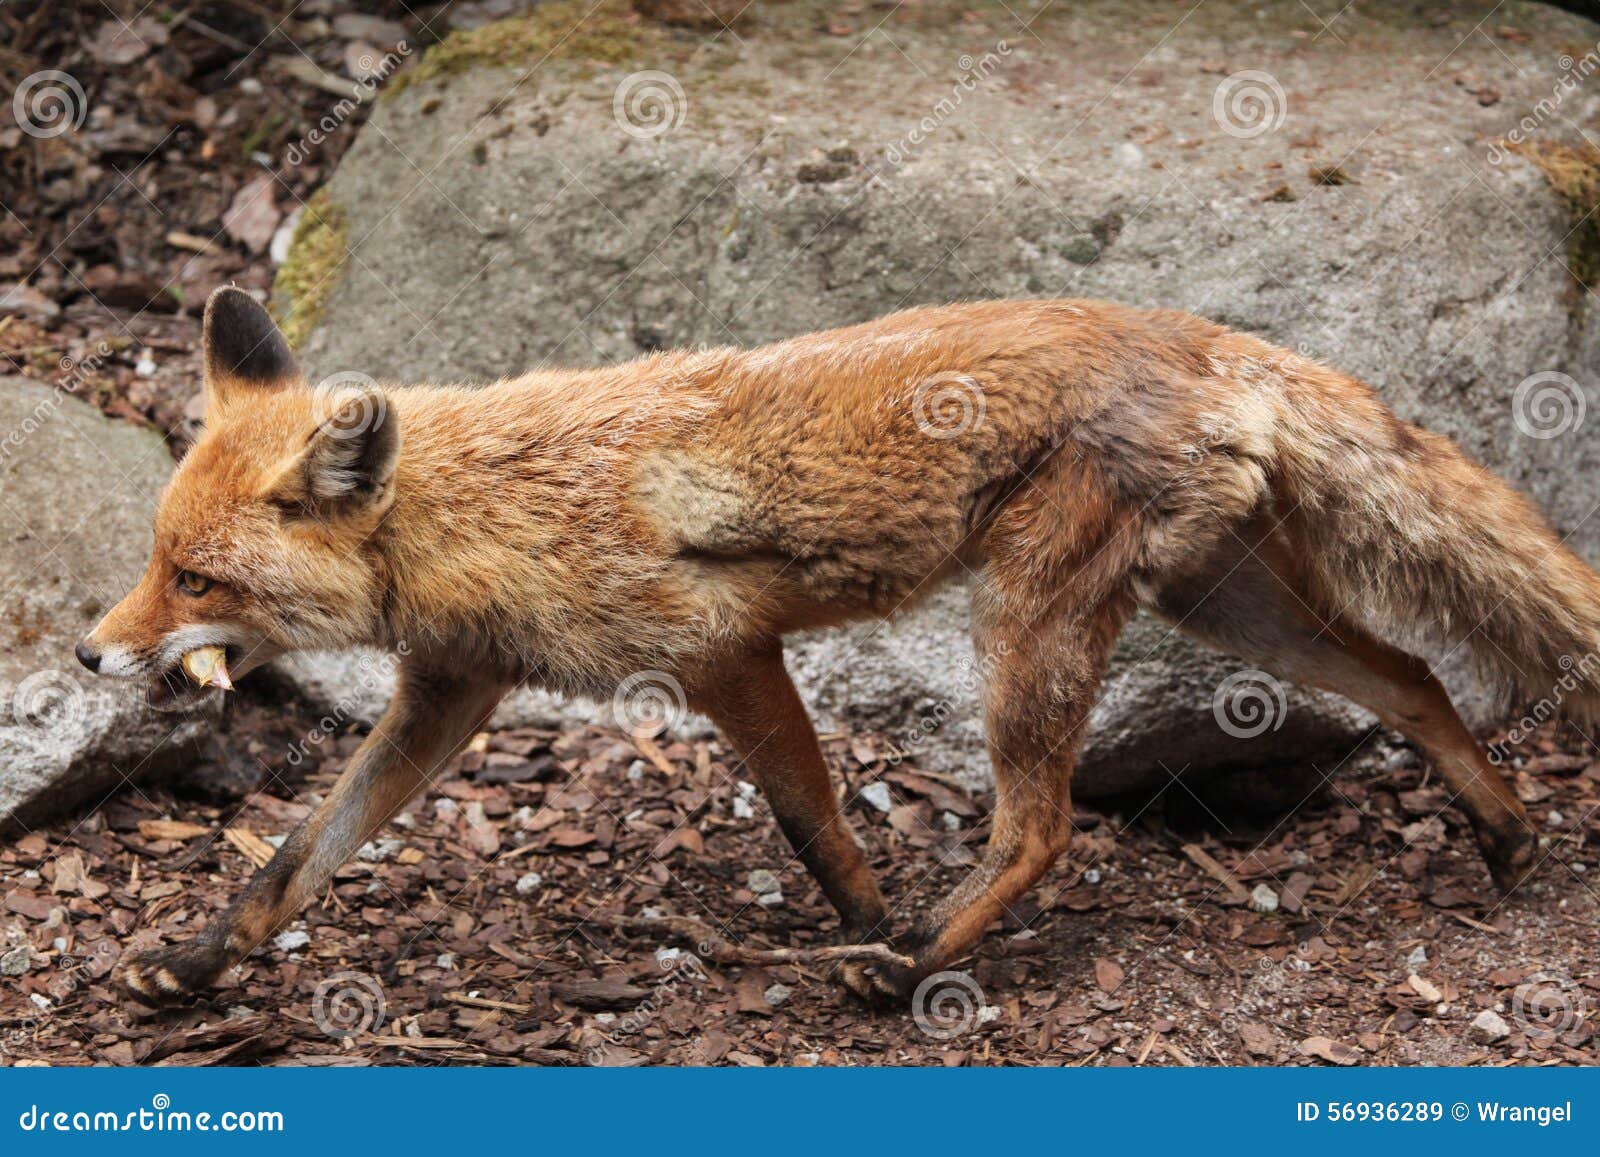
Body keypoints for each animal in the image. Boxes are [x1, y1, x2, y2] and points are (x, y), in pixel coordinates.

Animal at [78, 286, 1599, 1008]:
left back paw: (913, 968)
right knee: (1414, 678)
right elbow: (297, 855)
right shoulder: (453, 690)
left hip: (1030, 628)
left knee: (1043, 827)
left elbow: (816, 824)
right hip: (1223, 605)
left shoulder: (725, 651)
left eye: (195, 577)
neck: (492, 508)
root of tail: (1201, 335)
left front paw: (870, 920)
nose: (92, 656)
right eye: (152, 558)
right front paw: (198, 964)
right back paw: (1506, 836)